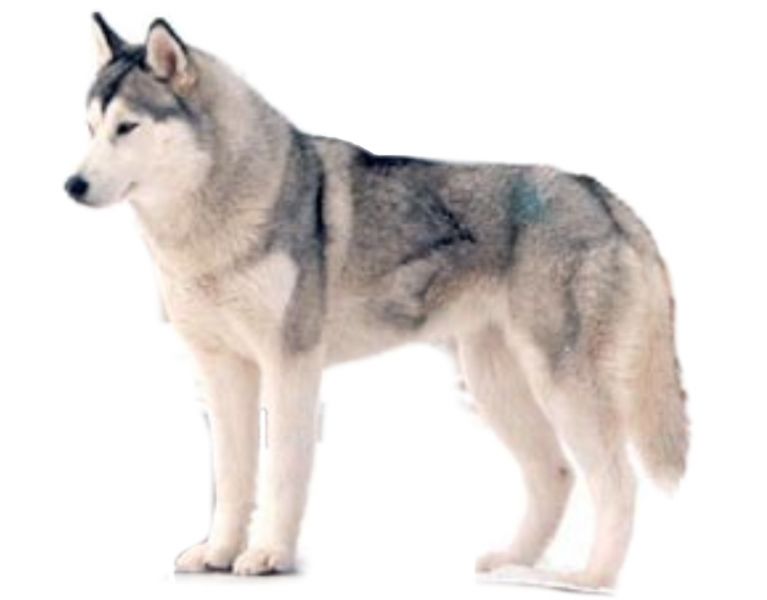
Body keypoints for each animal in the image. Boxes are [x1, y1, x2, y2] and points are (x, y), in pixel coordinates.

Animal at [65, 13, 688, 590]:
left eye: (127, 127)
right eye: (91, 127)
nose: (72, 185)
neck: (212, 222)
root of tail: (601, 194)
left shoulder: (290, 363)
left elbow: (281, 473)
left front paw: (268, 557)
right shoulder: (222, 370)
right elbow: (233, 478)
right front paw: (218, 553)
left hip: (565, 388)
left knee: (618, 482)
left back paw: (590, 579)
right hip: (496, 384)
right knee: (555, 473)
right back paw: (514, 562)